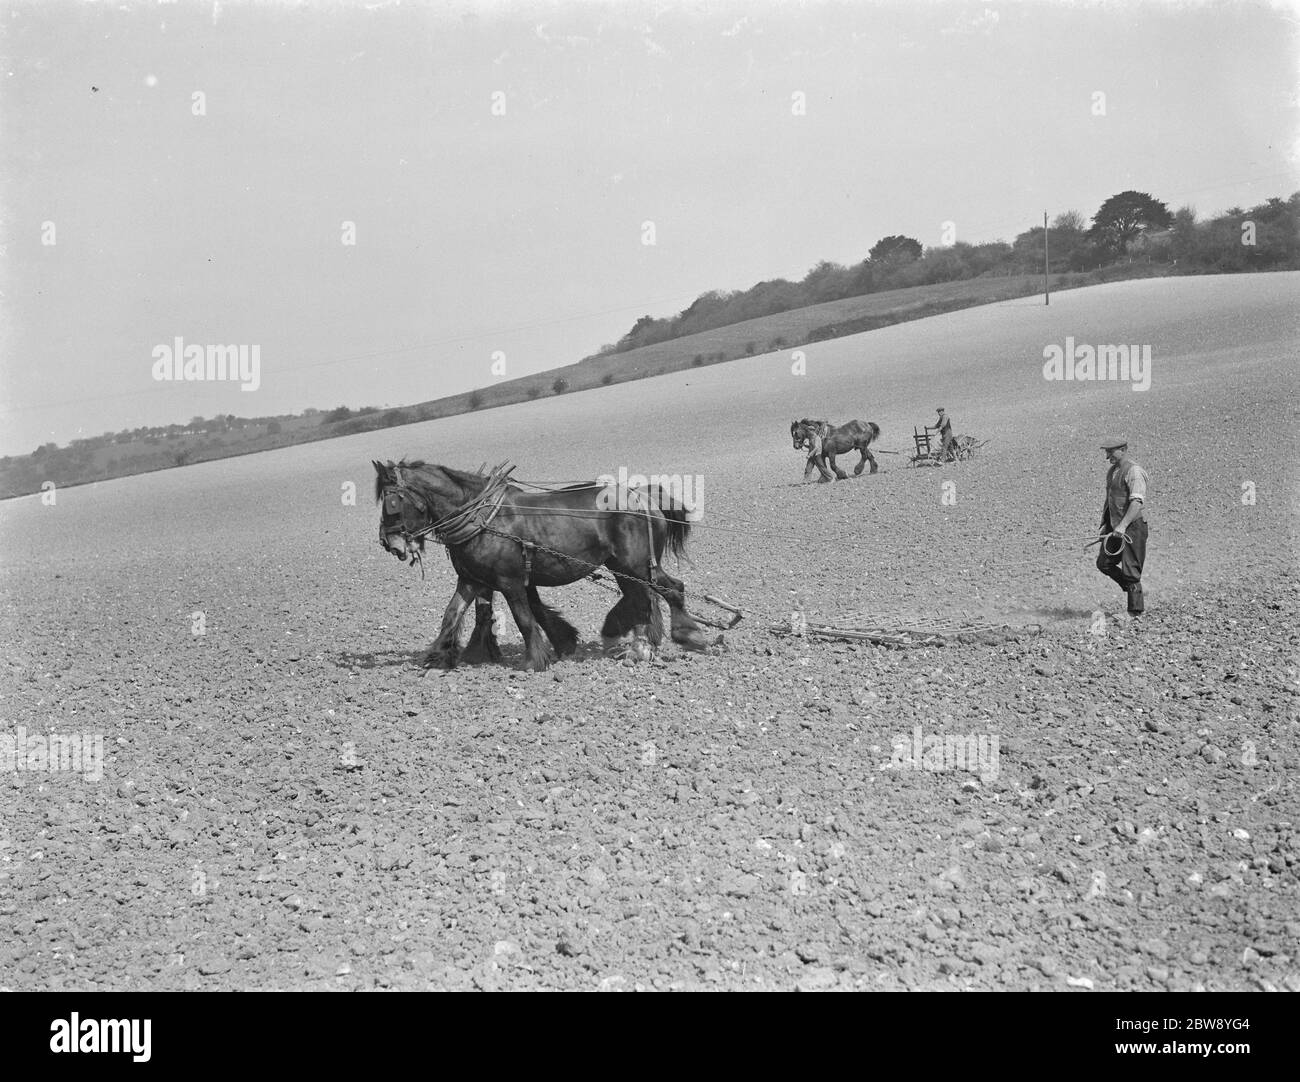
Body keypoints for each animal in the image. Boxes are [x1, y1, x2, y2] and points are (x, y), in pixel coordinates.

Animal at [373, 460, 713, 671]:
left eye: (391, 502)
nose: (390, 543)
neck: (482, 518)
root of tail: (641, 494)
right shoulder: (471, 580)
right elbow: (451, 614)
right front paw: (434, 656)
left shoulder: (509, 581)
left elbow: (524, 618)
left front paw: (534, 660)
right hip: (625, 566)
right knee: (646, 597)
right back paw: (640, 643)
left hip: (635, 565)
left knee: (665, 592)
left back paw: (677, 637)